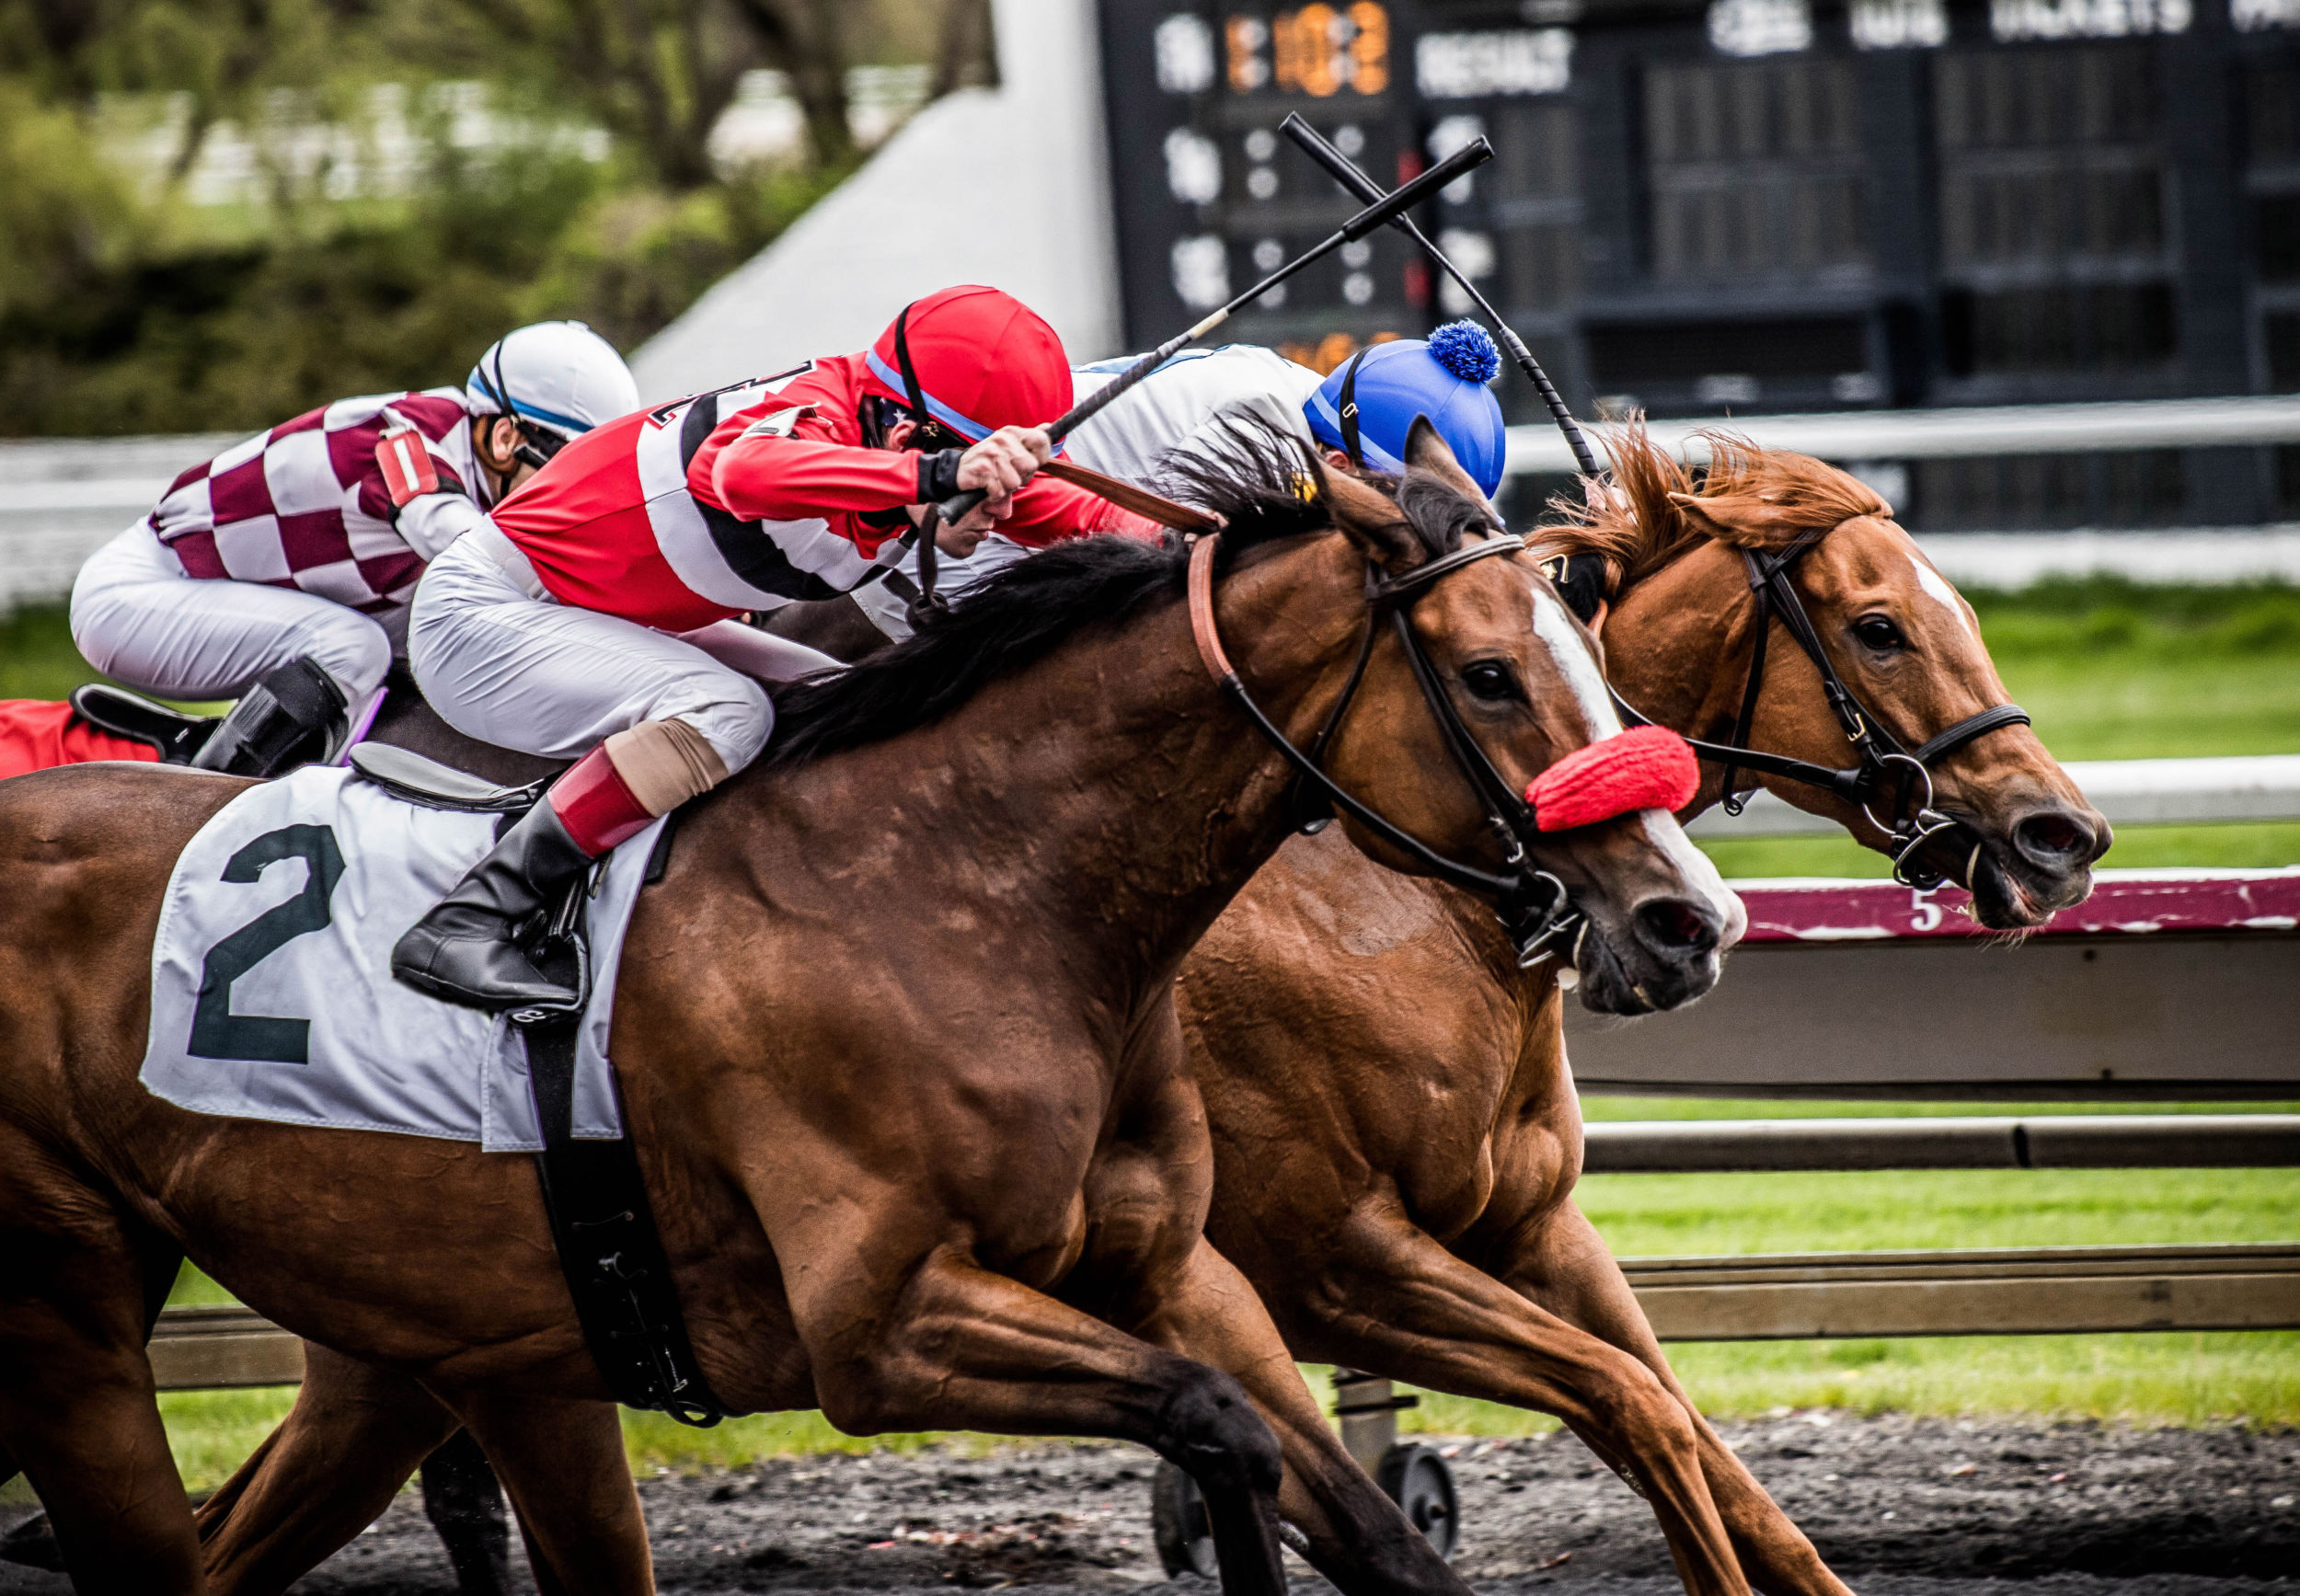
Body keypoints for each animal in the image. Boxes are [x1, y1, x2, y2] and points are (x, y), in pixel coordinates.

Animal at [0, 426, 1738, 1596]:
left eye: (1589, 641)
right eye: (1491, 675)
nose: (1686, 916)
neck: (979, 890)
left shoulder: (1185, 1271)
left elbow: (1370, 1514)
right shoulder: (877, 1324)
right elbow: (1219, 1430)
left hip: (449, 1341)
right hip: (73, 1307)